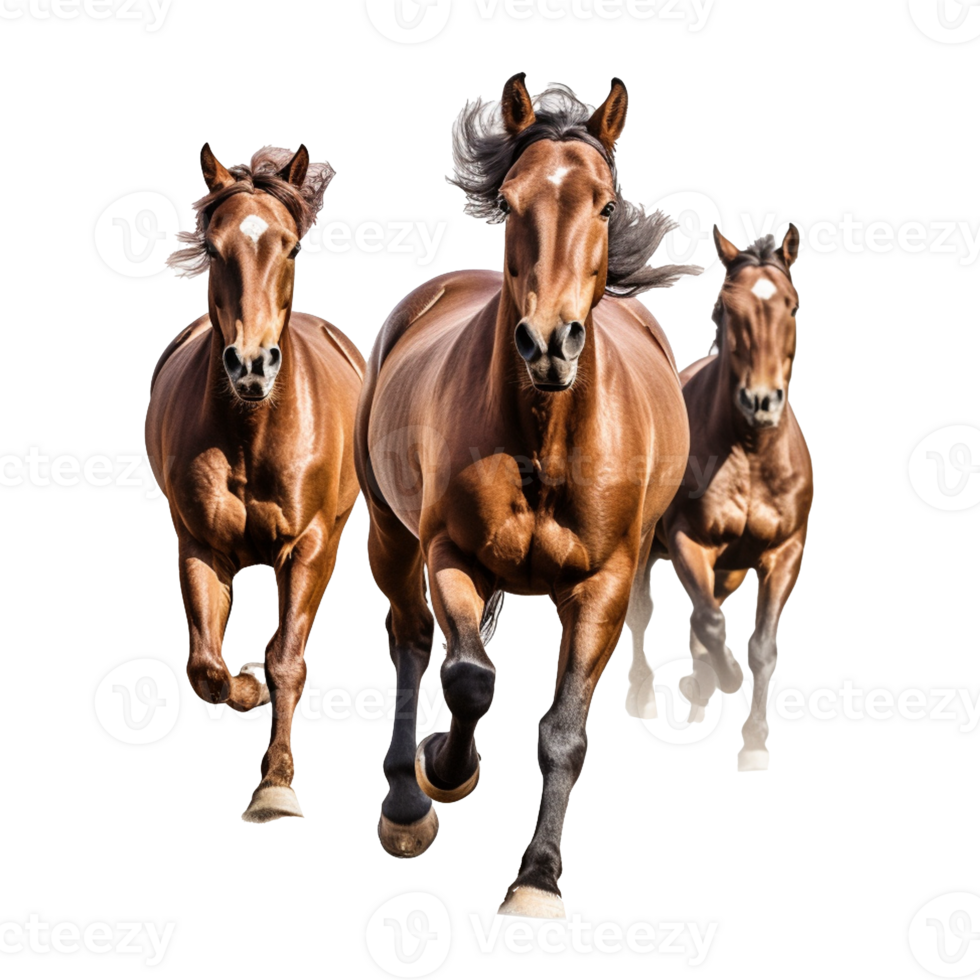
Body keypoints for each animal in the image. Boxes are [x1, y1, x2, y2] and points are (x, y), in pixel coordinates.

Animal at [144, 143, 364, 822]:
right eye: (215, 250)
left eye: (290, 247)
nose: (250, 364)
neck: (252, 433)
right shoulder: (199, 548)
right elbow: (206, 667)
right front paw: (245, 686)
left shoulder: (311, 548)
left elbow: (286, 660)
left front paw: (276, 784)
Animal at [355, 74, 702, 919]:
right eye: (511, 203)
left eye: (604, 206)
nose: (549, 343)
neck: (545, 438)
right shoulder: (450, 554)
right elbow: (469, 677)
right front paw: (447, 774)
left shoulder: (604, 584)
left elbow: (564, 732)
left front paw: (538, 879)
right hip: (391, 538)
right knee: (411, 641)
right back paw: (407, 799)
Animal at [627, 226, 814, 772]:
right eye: (722, 310)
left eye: (792, 305)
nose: (760, 401)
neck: (749, 453)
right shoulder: (690, 543)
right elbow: (710, 622)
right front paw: (722, 677)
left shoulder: (783, 553)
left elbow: (762, 647)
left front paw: (754, 742)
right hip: (646, 548)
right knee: (643, 613)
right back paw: (647, 692)